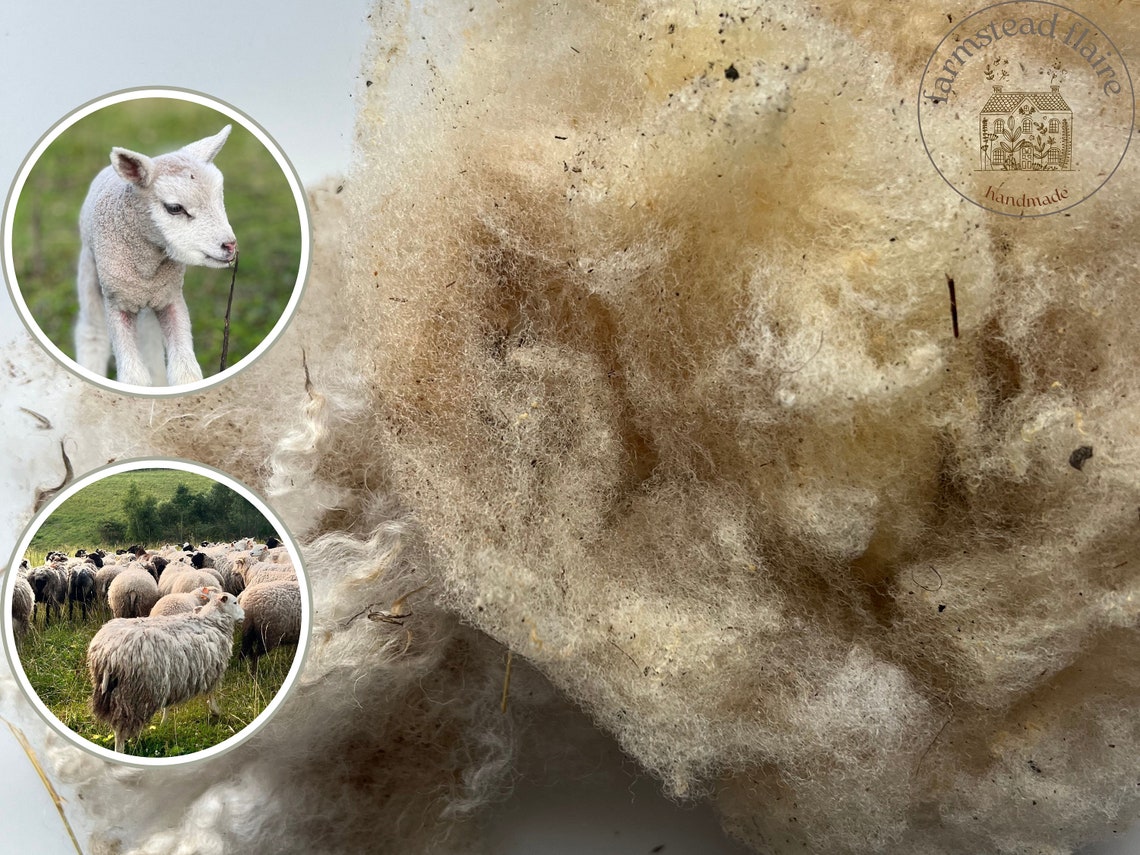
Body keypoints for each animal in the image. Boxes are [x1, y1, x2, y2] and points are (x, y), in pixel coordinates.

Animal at [74, 126, 238, 387]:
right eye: (175, 208)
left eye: (219, 198)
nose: (230, 245)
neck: (146, 266)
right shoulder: (117, 302)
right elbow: (133, 377)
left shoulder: (170, 297)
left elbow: (185, 370)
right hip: (91, 272)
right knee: (92, 331)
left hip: (152, 301)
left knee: (149, 341)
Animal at [86, 589, 245, 753]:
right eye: (235, 602)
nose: (244, 616)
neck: (211, 620)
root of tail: (108, 654)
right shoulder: (213, 670)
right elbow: (212, 693)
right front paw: (216, 712)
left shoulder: (172, 678)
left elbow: (167, 704)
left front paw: (164, 723)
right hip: (134, 693)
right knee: (121, 727)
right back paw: (122, 749)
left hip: (110, 693)